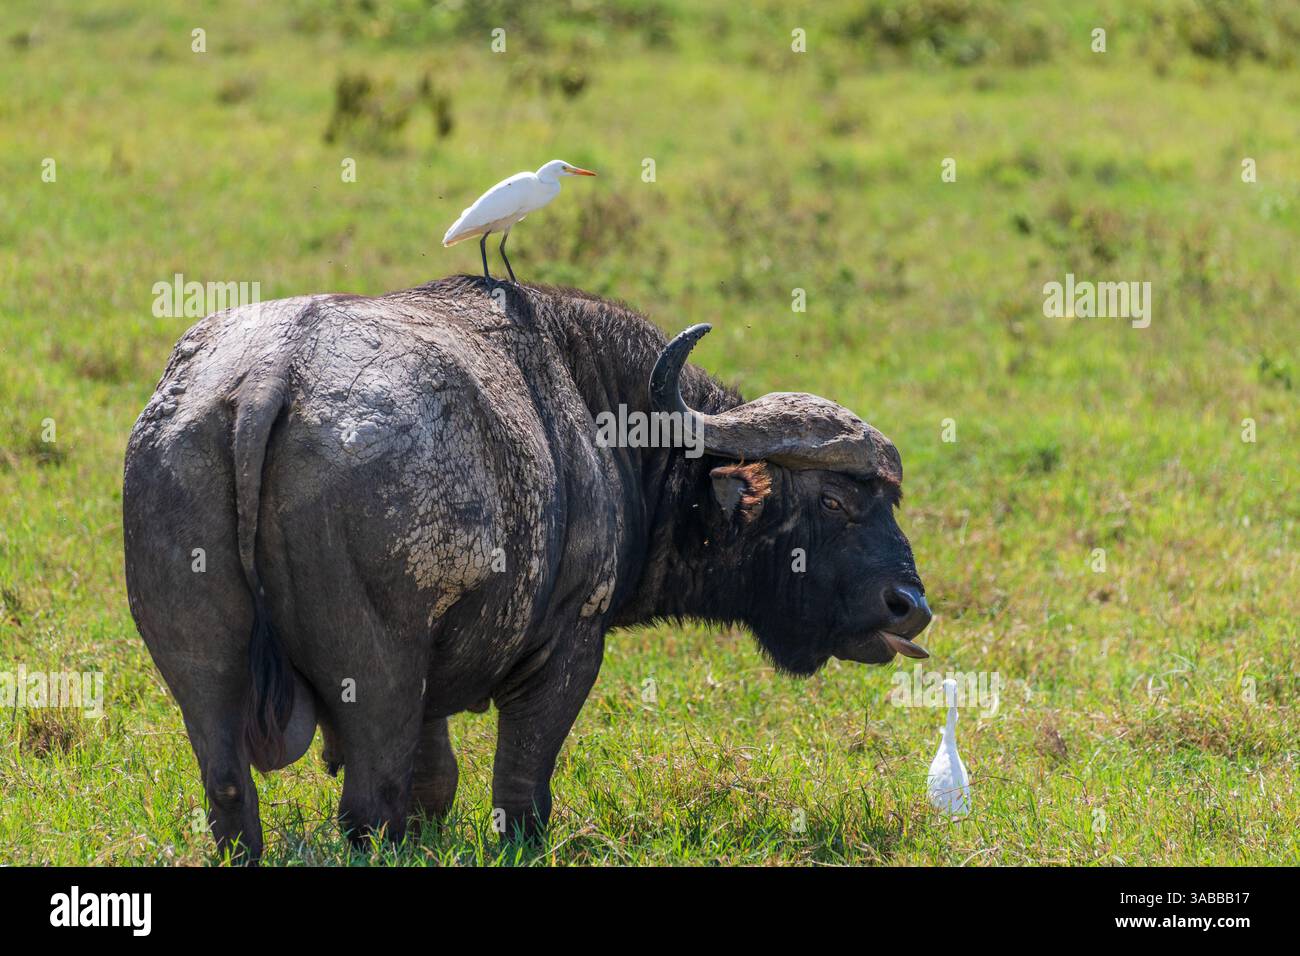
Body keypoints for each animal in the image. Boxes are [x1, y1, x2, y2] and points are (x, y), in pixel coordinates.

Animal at [123, 276, 931, 861]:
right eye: (835, 499)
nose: (911, 606)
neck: (603, 419)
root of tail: (268, 377)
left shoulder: (436, 683)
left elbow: (437, 782)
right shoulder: (567, 646)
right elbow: (522, 792)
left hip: (203, 670)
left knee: (232, 797)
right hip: (377, 674)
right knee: (367, 809)